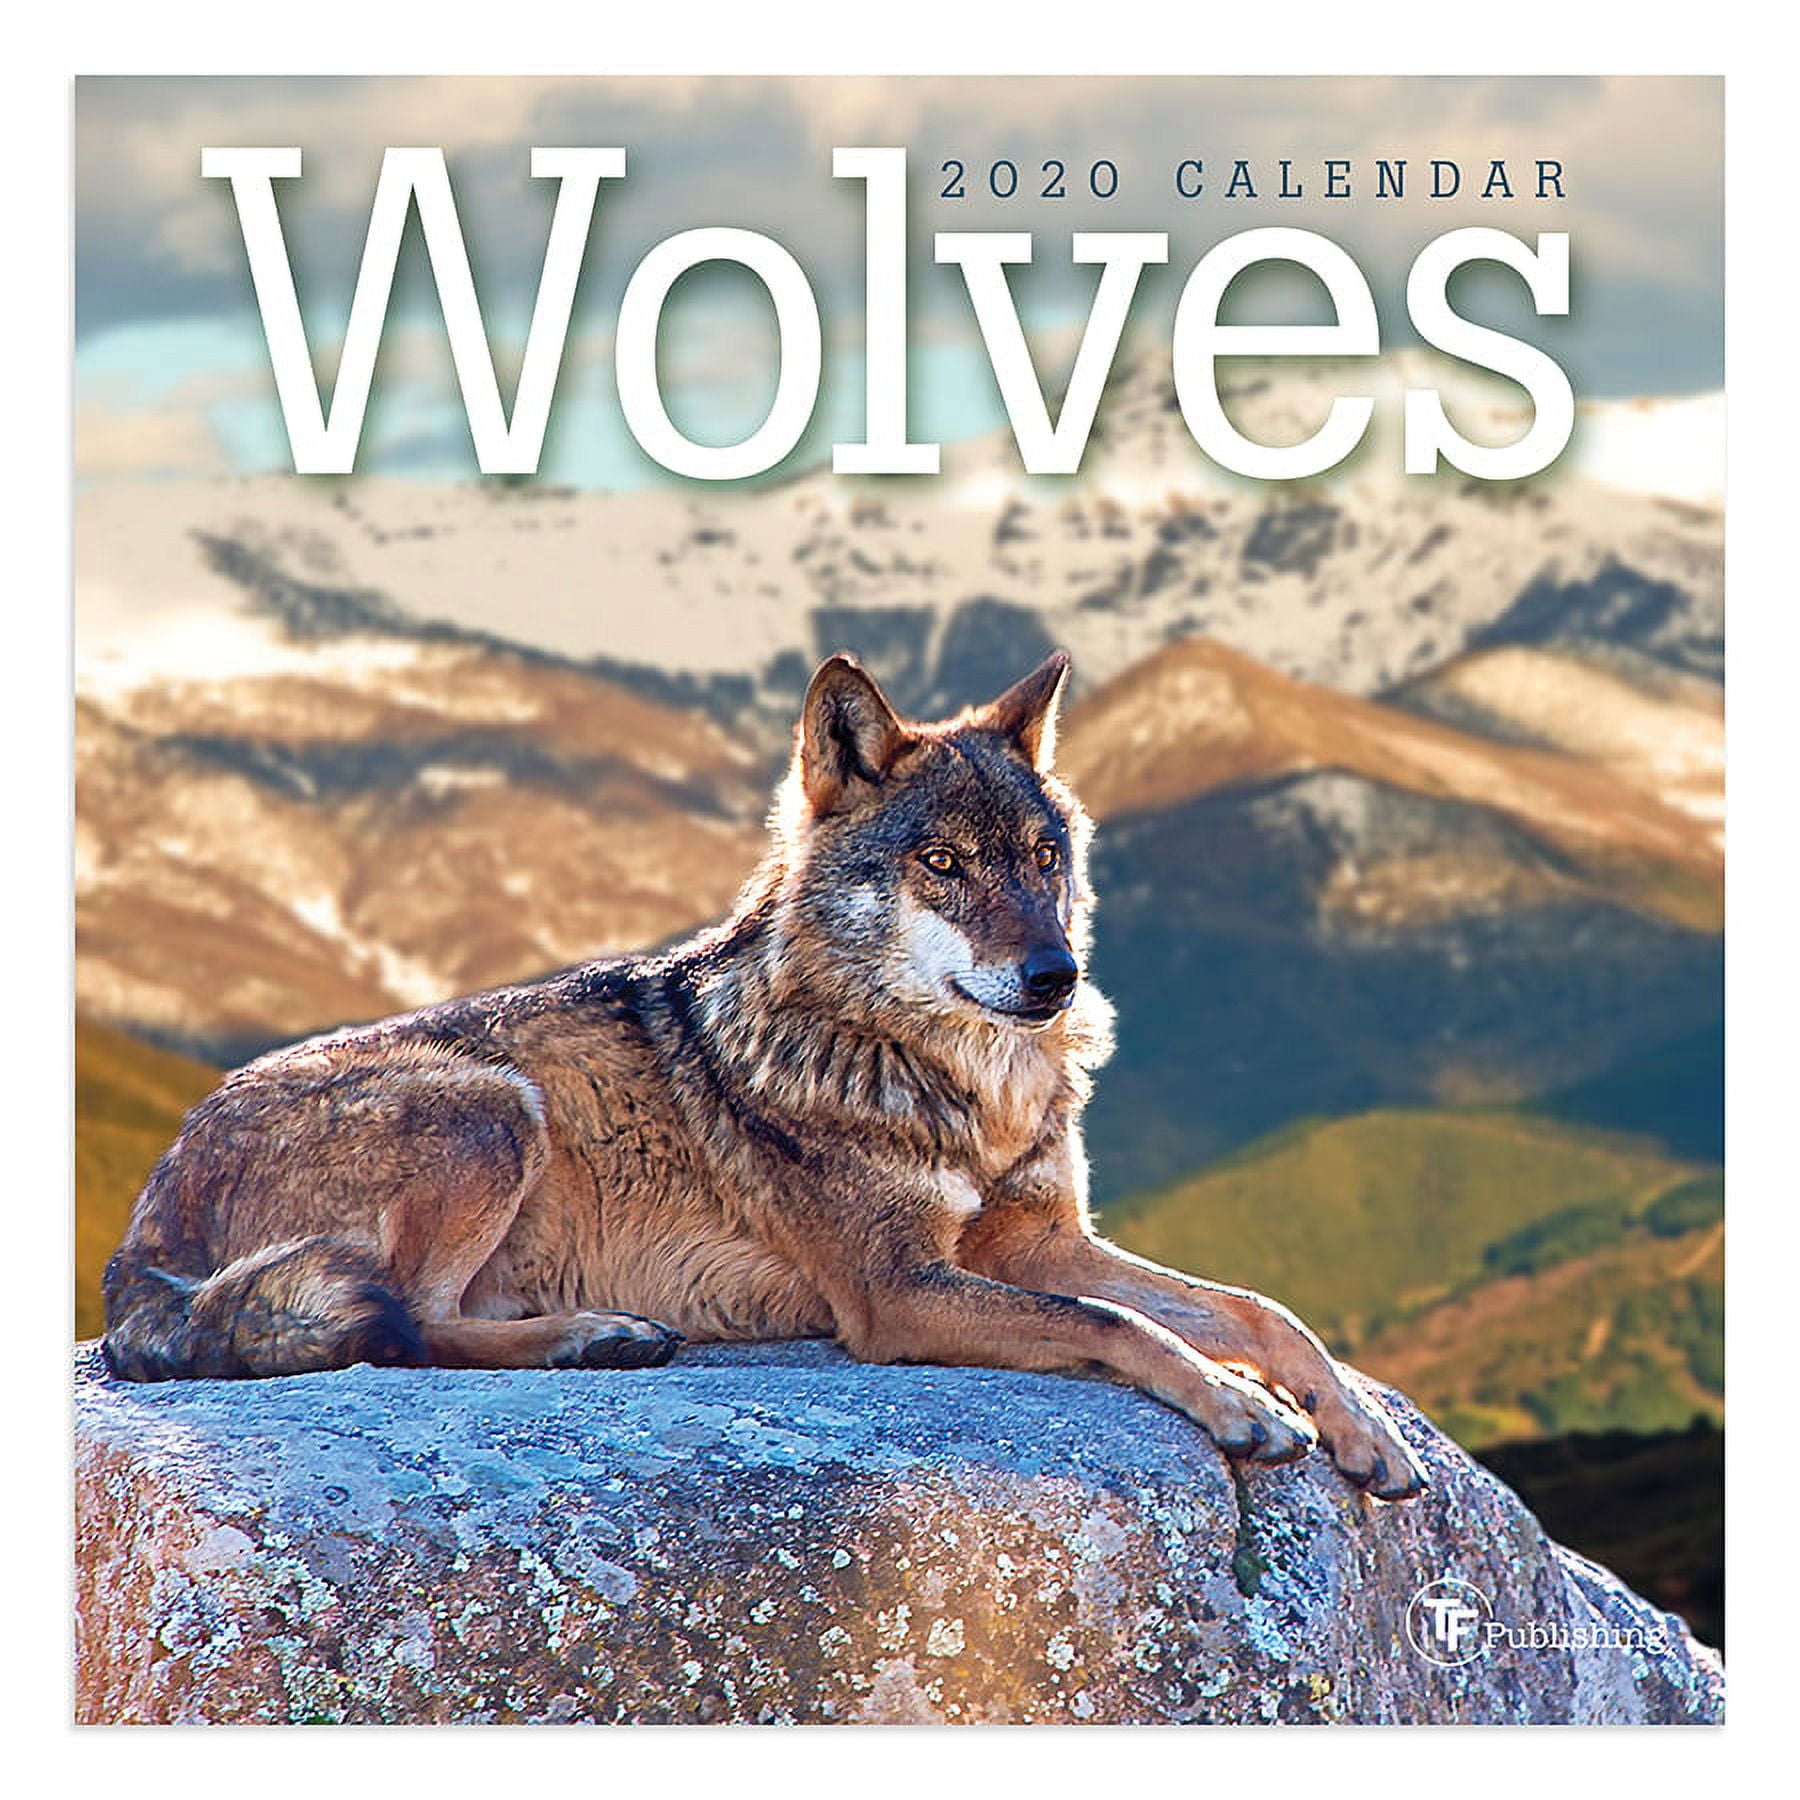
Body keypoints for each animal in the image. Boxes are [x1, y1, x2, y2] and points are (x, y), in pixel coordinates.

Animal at [104, 651, 1426, 1499]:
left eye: (1044, 859)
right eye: (943, 864)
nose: (1056, 977)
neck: (959, 1086)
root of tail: (138, 1234)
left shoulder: (1039, 1241)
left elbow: (1256, 1309)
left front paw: (1360, 1432)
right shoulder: (899, 1293)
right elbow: (1119, 1325)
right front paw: (1243, 1407)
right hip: (490, 1107)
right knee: (406, 1324)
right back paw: (595, 1338)